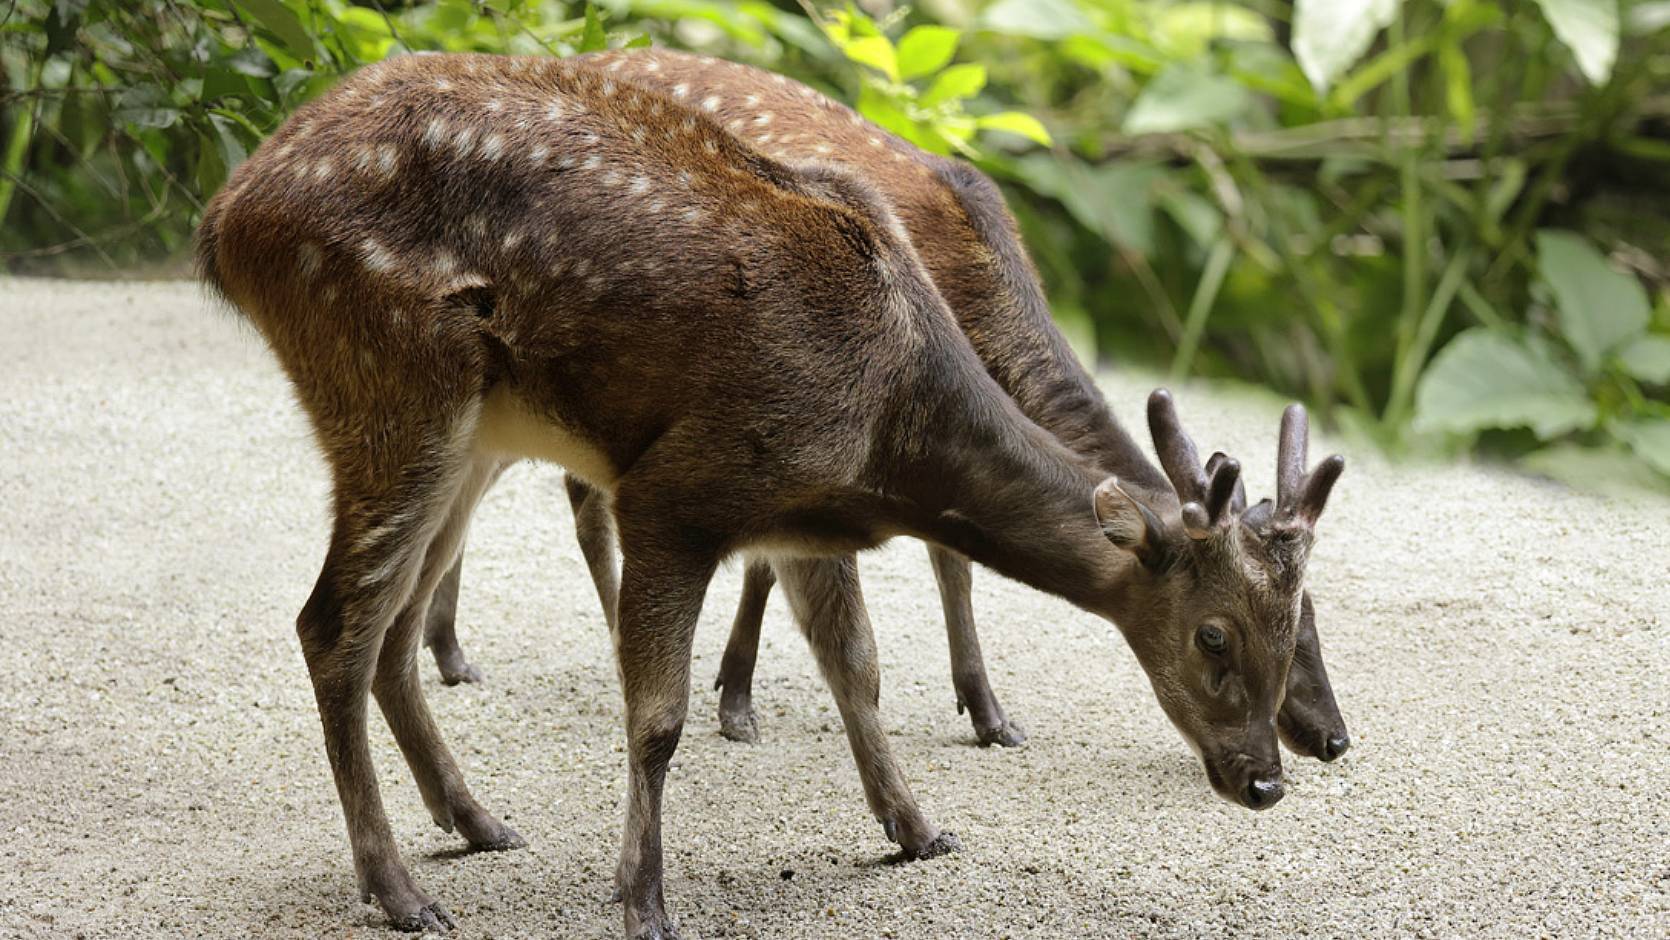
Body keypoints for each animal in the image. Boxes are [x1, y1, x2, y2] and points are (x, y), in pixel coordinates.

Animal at [420, 48, 1352, 762]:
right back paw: (476, 644)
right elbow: (935, 558)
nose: (1334, 736)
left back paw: (453, 646)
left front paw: (980, 710)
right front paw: (743, 698)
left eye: (1307, 615)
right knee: (543, 486)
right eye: (1228, 632)